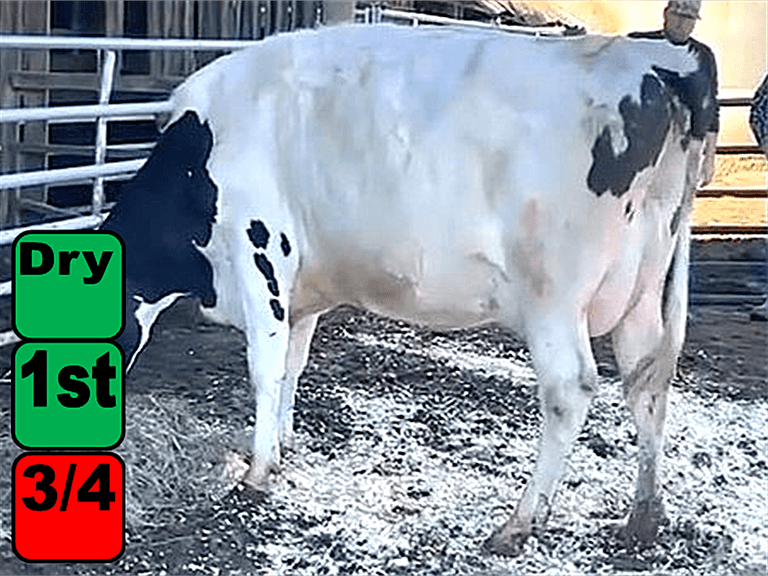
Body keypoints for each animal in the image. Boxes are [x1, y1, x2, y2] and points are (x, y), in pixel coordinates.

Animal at [103, 24, 718, 556]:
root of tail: (655, 59)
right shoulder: (302, 288)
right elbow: (293, 367)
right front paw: (284, 444)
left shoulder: (262, 256)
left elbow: (264, 368)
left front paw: (257, 472)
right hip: (644, 290)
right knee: (646, 383)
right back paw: (644, 515)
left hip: (553, 295)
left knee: (570, 390)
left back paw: (519, 522)